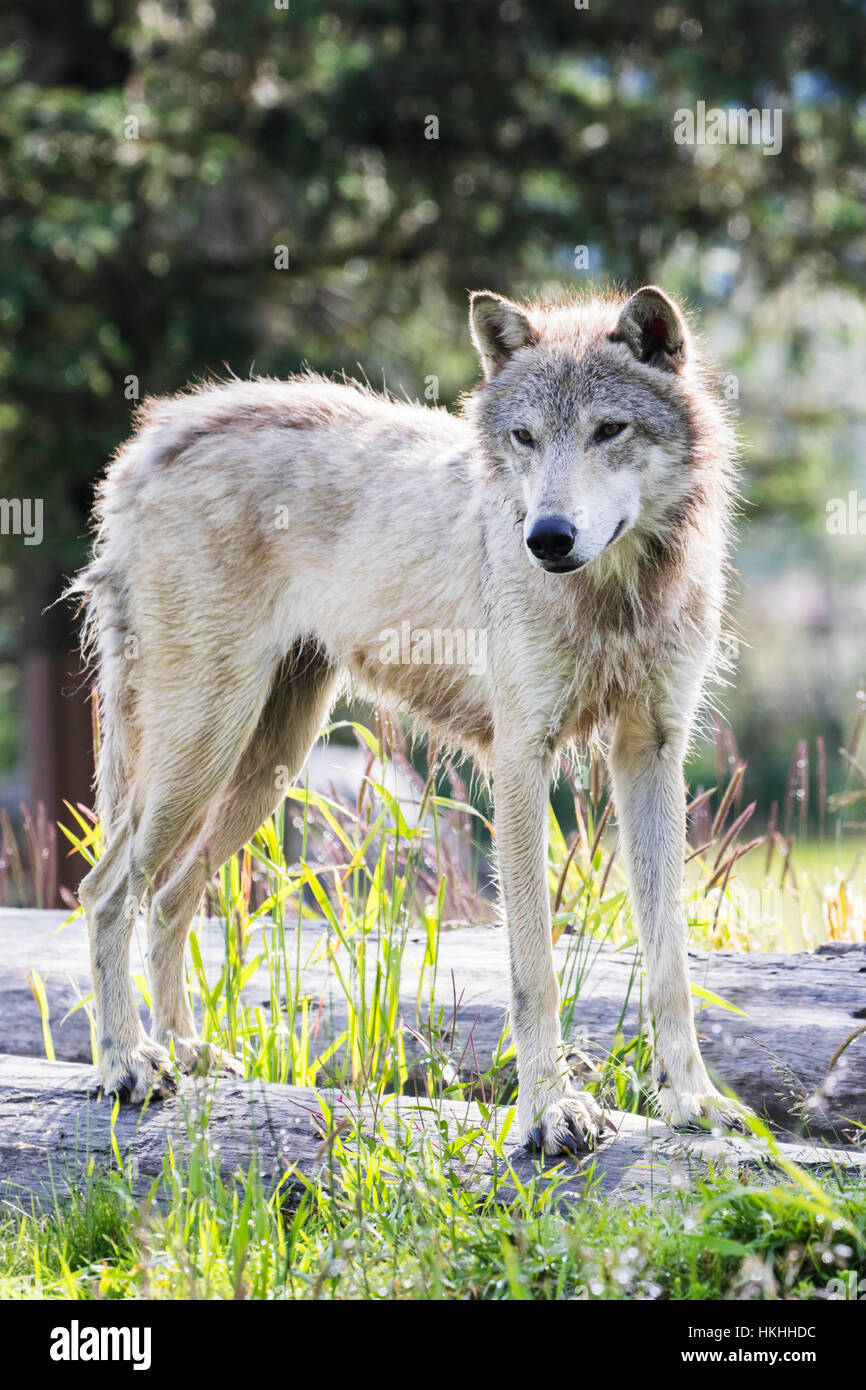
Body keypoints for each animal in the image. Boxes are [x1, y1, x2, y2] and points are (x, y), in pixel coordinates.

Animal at [72, 285, 747, 1153]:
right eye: (526, 438)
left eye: (609, 430)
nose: (546, 538)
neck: (615, 595)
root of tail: (153, 437)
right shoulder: (521, 760)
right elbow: (533, 967)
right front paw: (550, 1111)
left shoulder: (651, 751)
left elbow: (671, 962)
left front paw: (691, 1100)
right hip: (203, 749)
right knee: (106, 890)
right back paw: (127, 1061)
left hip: (263, 764)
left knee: (167, 898)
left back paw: (186, 1050)